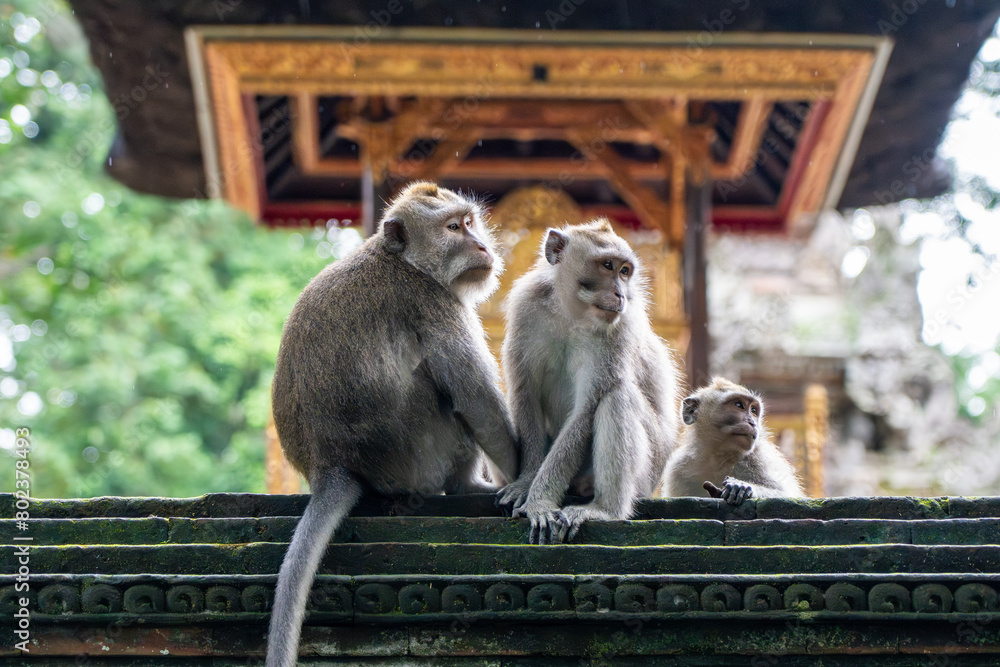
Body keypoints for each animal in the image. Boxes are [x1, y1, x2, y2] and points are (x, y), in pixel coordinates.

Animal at [266, 182, 517, 667]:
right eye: (453, 228)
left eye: (470, 223)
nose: (481, 246)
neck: (401, 259)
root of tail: (329, 466)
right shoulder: (432, 302)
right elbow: (476, 398)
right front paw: (527, 482)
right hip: (418, 456)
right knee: (440, 390)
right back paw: (466, 486)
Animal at [496, 219, 683, 544]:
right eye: (608, 265)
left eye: (625, 271)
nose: (621, 294)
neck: (571, 314)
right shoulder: (526, 307)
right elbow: (525, 394)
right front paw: (525, 482)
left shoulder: (618, 332)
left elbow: (586, 410)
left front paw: (539, 501)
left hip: (646, 476)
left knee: (618, 398)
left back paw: (604, 509)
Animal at [661, 377, 803, 505]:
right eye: (739, 405)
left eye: (753, 410)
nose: (752, 423)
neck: (719, 457)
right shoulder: (678, 468)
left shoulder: (761, 459)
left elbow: (786, 494)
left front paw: (741, 487)